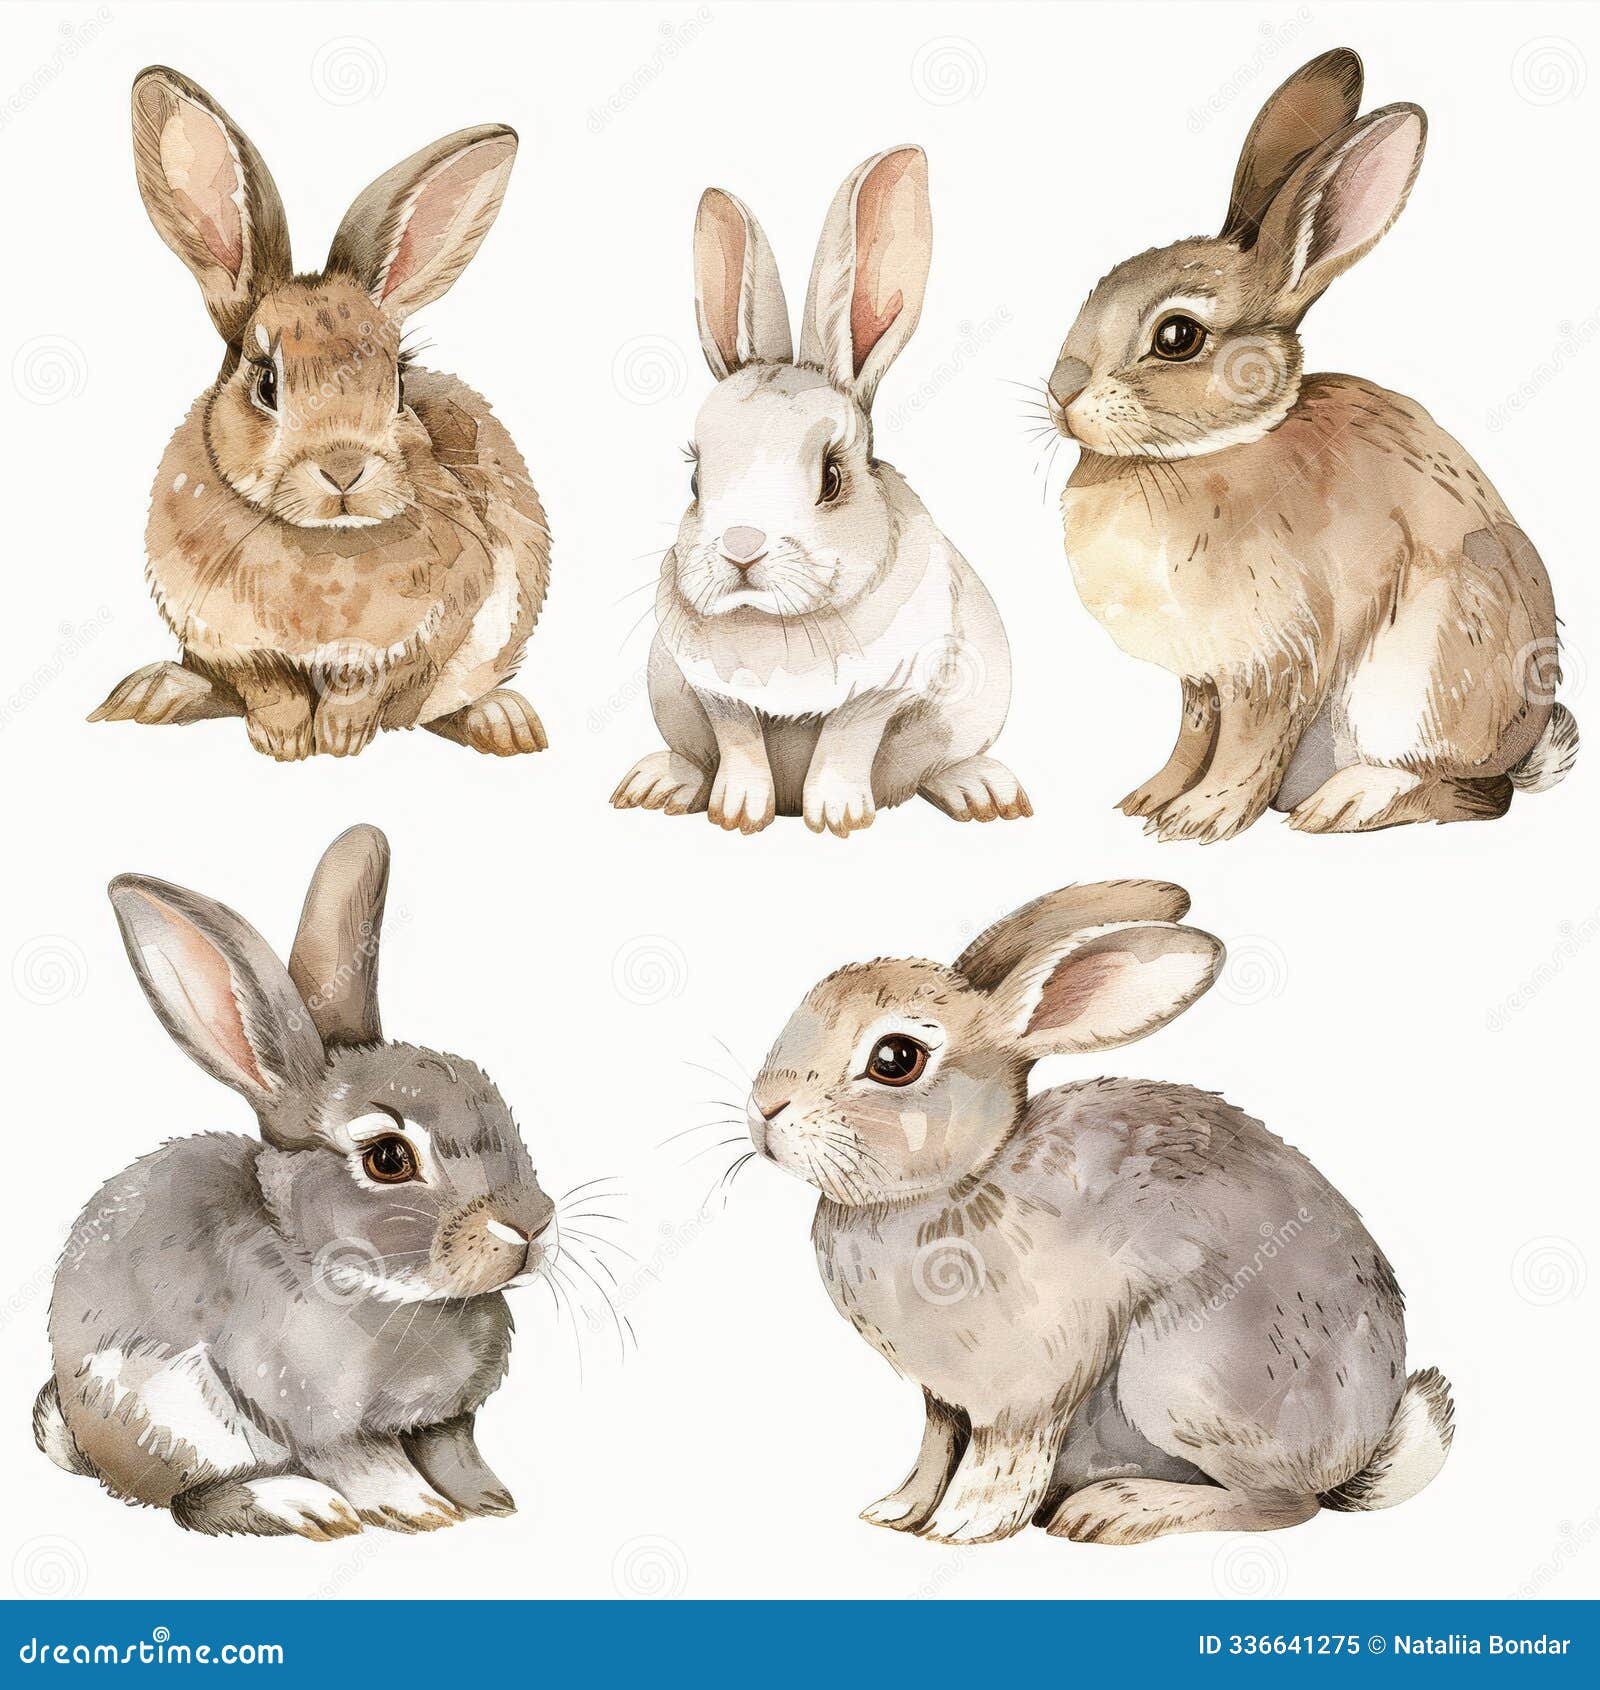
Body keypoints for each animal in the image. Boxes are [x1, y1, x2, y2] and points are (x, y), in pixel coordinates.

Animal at [33, 825, 559, 1538]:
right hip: (164, 1420)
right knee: (189, 1502)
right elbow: (366, 1465)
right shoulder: (313, 1415)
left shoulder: (448, 1423)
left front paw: (488, 1501)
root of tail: (83, 1442)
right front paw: (422, 1511)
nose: (532, 1223)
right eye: (388, 1159)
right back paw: (298, 1504)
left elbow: (454, 1452)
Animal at [90, 67, 550, 760]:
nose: (345, 468)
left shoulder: (442, 617)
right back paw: (150, 694)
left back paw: (506, 723)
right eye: (267, 382)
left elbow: (372, 684)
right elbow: (265, 685)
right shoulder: (222, 637)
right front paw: (285, 741)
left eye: (398, 380)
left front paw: (338, 738)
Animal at [612, 146, 1029, 837]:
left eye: (832, 476)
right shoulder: (716, 694)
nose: (741, 547)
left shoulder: (883, 689)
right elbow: (739, 742)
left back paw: (984, 793)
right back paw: (657, 785)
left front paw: (836, 818)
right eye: (695, 476)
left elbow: (845, 740)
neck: (778, 622)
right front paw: (738, 816)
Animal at [744, 880, 1453, 1545]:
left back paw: (1115, 1510)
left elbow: (998, 1461)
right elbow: (934, 1451)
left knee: (1281, 1504)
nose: (764, 1110)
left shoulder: (1027, 1390)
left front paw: (962, 1526)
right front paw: (895, 1512)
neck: (955, 1183)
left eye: (895, 1059)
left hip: (1181, 1380)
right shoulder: (943, 1401)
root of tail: (1360, 1443)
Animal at [1045, 47, 1577, 841]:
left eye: (1178, 337)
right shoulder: (1202, 677)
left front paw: (1200, 819)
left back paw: (1342, 802)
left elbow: (1246, 745)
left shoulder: (1278, 657)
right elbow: (1192, 738)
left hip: (1425, 673)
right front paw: (1150, 800)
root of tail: (1525, 745)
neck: (1206, 452)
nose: (1060, 390)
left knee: (1465, 792)